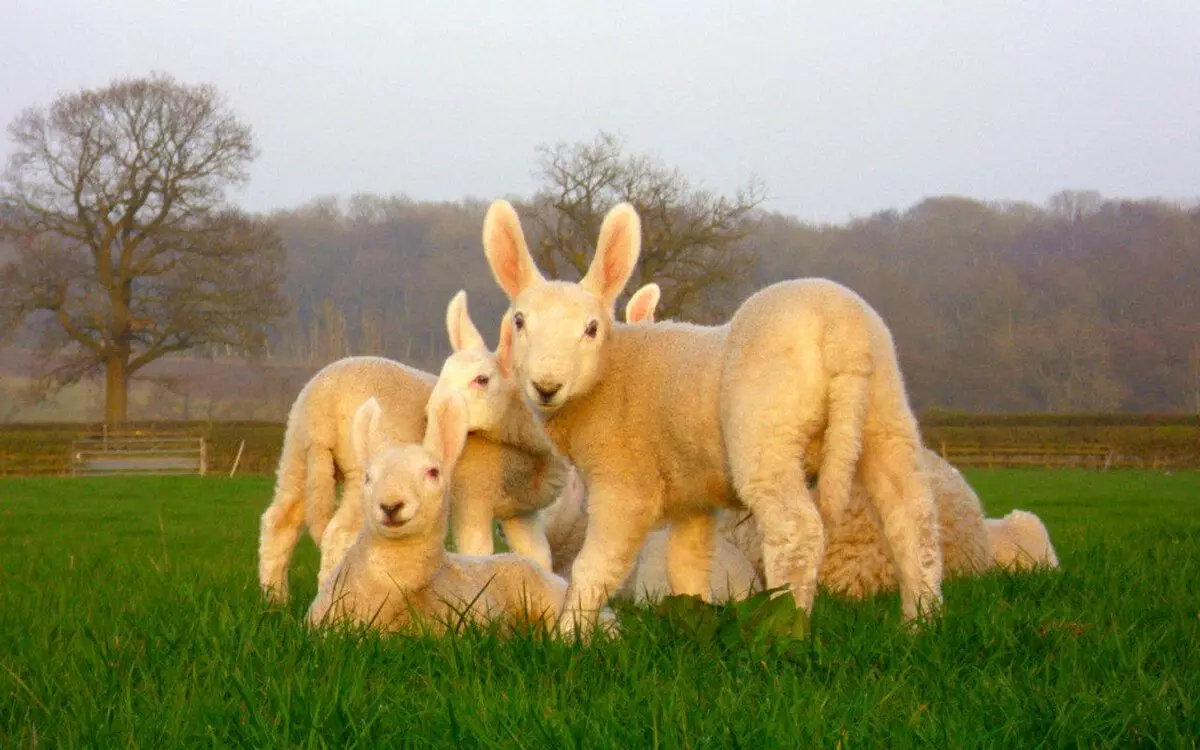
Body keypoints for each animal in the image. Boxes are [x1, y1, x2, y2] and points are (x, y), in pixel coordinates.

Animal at [255, 292, 564, 602]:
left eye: (482, 380)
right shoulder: (473, 499)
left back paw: (275, 600)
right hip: (360, 469)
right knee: (337, 534)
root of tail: (323, 405)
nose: (431, 414)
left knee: (279, 522)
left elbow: (539, 558)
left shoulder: (522, 513)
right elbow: (478, 553)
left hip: (296, 451)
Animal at [480, 199, 945, 633]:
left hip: (766, 430)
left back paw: (785, 628)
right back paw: (920, 623)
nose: (546, 386)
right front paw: (693, 621)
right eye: (519, 322)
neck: (611, 374)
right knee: (913, 520)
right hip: (886, 415)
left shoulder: (624, 483)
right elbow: (686, 563)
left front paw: (570, 635)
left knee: (797, 533)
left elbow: (594, 567)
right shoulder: (694, 497)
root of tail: (843, 333)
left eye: (591, 328)